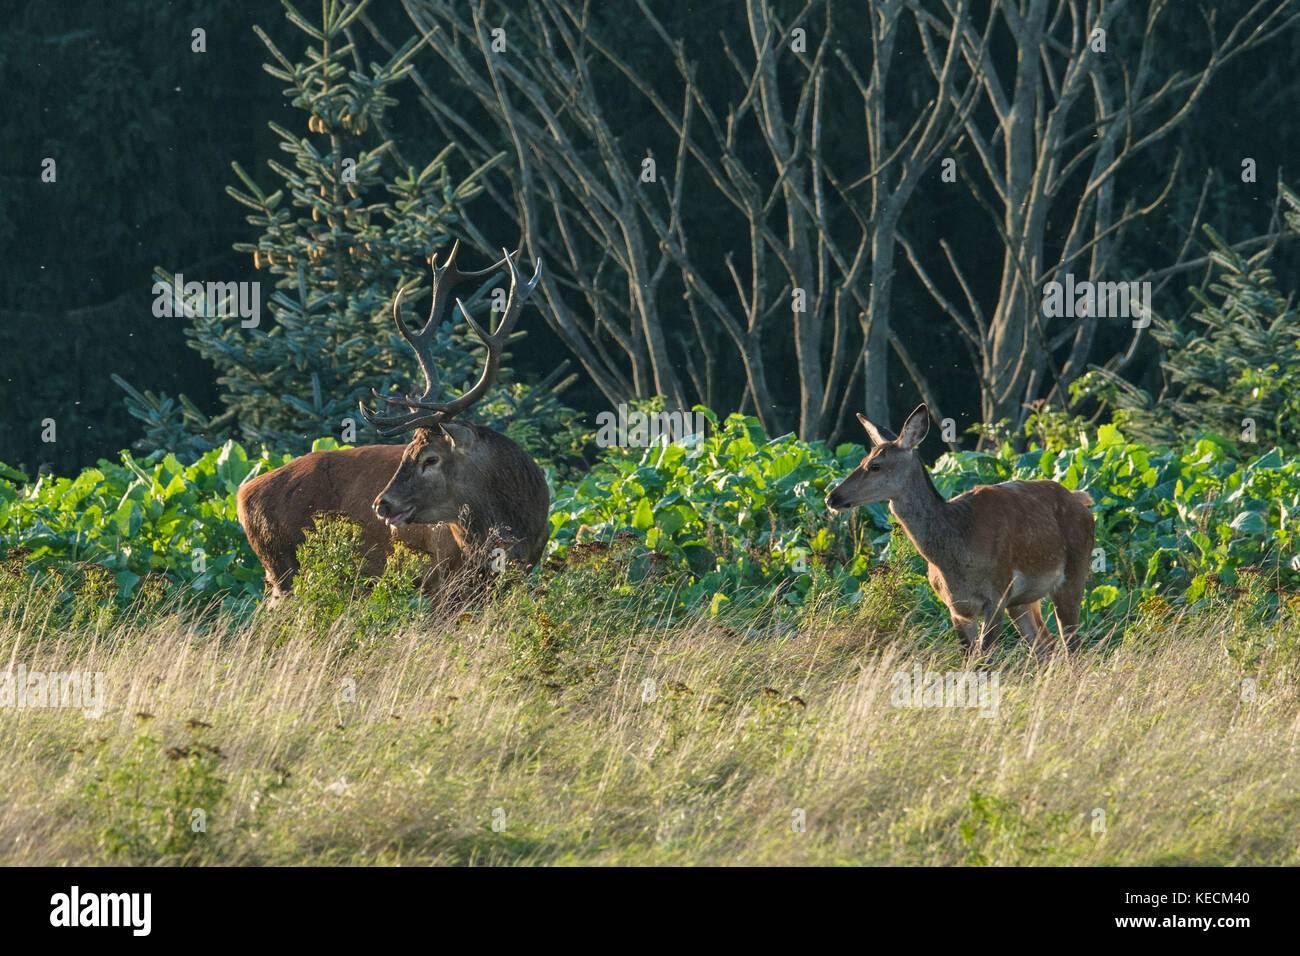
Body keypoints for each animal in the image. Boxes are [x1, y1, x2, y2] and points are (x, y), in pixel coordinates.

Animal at [236, 242, 550, 601]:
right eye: (406, 454)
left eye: (431, 458)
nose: (381, 505)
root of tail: (241, 497)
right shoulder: (445, 575)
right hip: (285, 568)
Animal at [825, 404, 1094, 656]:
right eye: (861, 460)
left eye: (875, 465)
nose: (831, 497)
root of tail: (1081, 500)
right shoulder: (955, 608)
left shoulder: (997, 595)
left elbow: (984, 663)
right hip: (1023, 600)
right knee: (1047, 648)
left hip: (1073, 575)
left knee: (1072, 647)